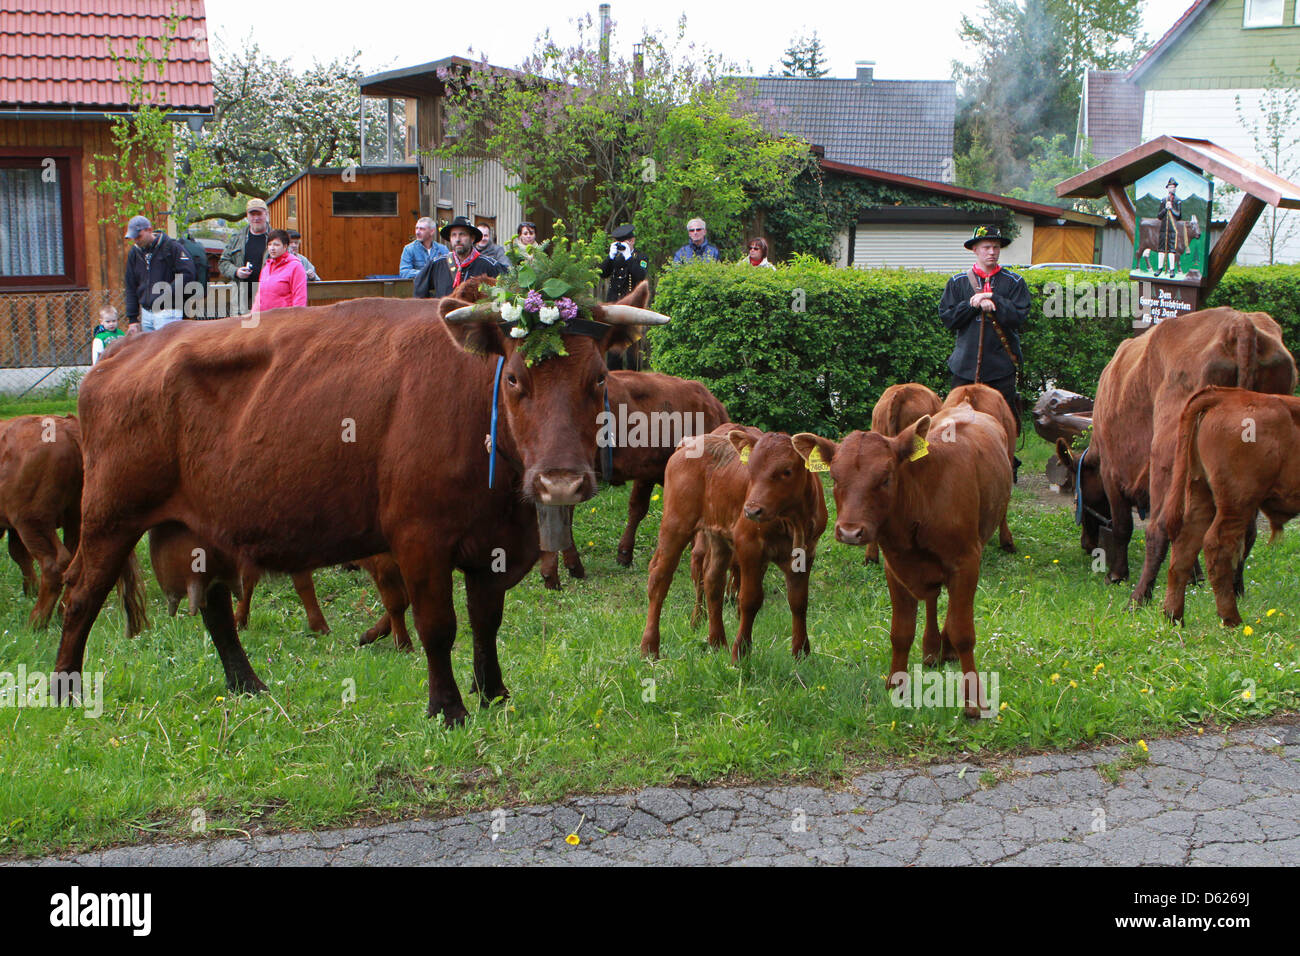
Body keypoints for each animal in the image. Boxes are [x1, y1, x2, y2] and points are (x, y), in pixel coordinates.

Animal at [52, 279, 667, 723]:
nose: (559, 482)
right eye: (514, 378)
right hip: (109, 515)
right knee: (80, 594)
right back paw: (65, 691)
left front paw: (493, 694)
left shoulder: (495, 544)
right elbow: (438, 625)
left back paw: (248, 686)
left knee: (216, 606)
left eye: (598, 377)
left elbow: (486, 621)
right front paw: (448, 709)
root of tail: (124, 350)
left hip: (205, 527)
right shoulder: (419, 538)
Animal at [640, 424, 827, 663]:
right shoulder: (748, 545)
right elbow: (749, 599)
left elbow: (799, 601)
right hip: (676, 523)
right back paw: (650, 647)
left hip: (717, 533)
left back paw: (717, 642)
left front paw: (801, 653)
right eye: (751, 470)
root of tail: (690, 442)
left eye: (786, 471)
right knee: (659, 577)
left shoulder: (807, 552)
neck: (792, 520)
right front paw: (741, 653)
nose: (751, 510)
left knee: (712, 580)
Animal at [793, 402, 1011, 717]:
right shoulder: (895, 566)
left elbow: (963, 632)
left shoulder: (967, 562)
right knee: (932, 598)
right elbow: (901, 631)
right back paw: (932, 649)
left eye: (885, 478)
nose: (849, 531)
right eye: (834, 478)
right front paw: (896, 685)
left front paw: (973, 701)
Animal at [1090, 308, 1295, 605]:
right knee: (1243, 532)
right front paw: (1195, 578)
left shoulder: (1111, 471)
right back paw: (1235, 591)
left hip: (1168, 456)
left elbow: (1122, 526)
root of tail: (1238, 322)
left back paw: (1139, 599)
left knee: (1161, 528)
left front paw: (1117, 575)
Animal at [1162, 386, 1300, 627]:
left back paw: (1174, 616)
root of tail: (1225, 395)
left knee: (1184, 547)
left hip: (1201, 495)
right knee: (1217, 546)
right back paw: (1231, 618)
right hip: (1237, 503)